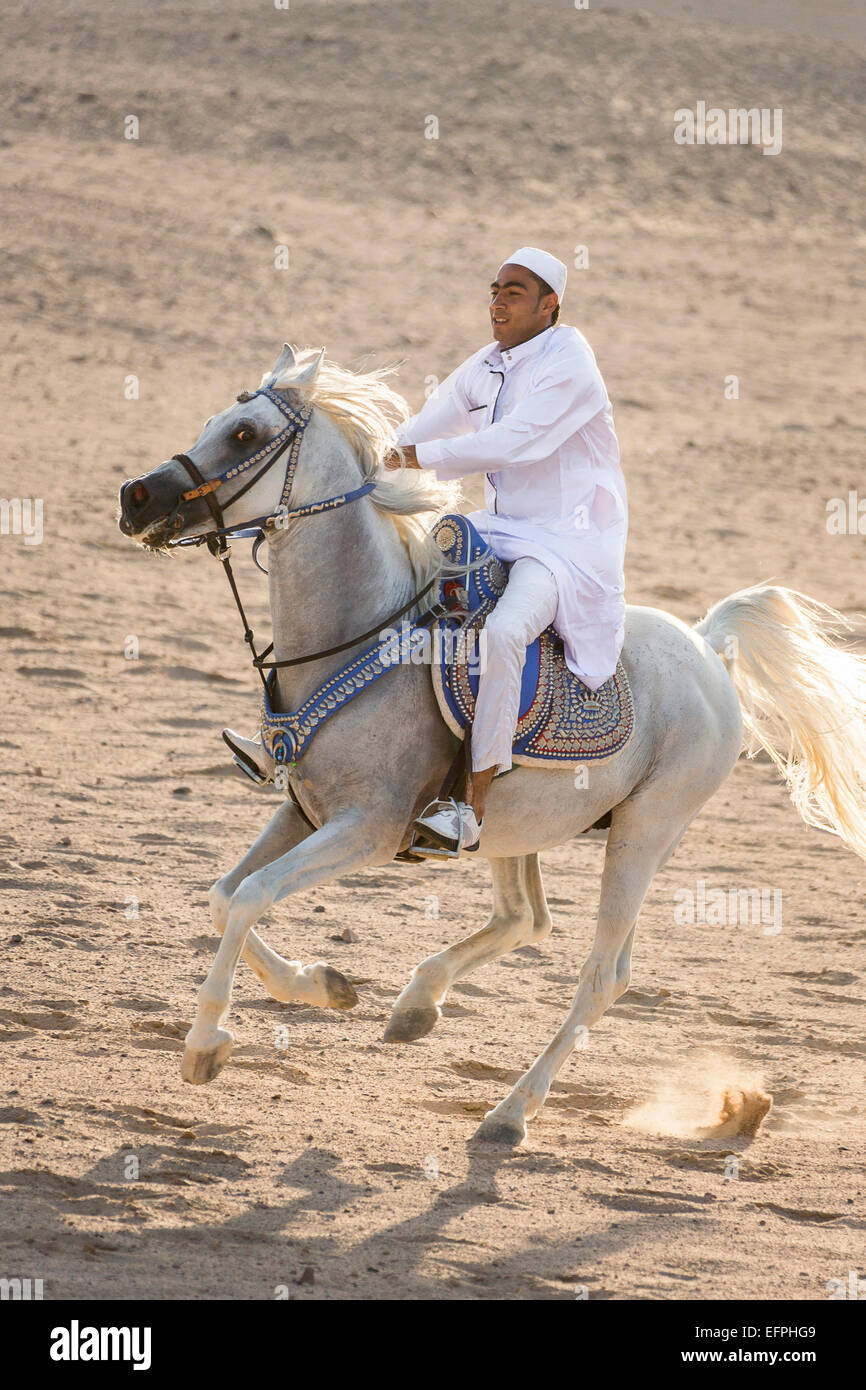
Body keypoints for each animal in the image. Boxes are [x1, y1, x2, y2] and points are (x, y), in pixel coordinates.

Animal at [118, 343, 866, 1147]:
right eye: (215, 422)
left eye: (245, 435)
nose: (136, 497)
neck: (361, 634)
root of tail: (706, 644)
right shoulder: (305, 812)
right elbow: (225, 897)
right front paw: (324, 985)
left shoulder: (367, 830)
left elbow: (251, 896)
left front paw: (205, 1045)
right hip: (512, 826)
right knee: (525, 920)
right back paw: (417, 1007)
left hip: (645, 833)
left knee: (603, 975)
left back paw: (509, 1113)